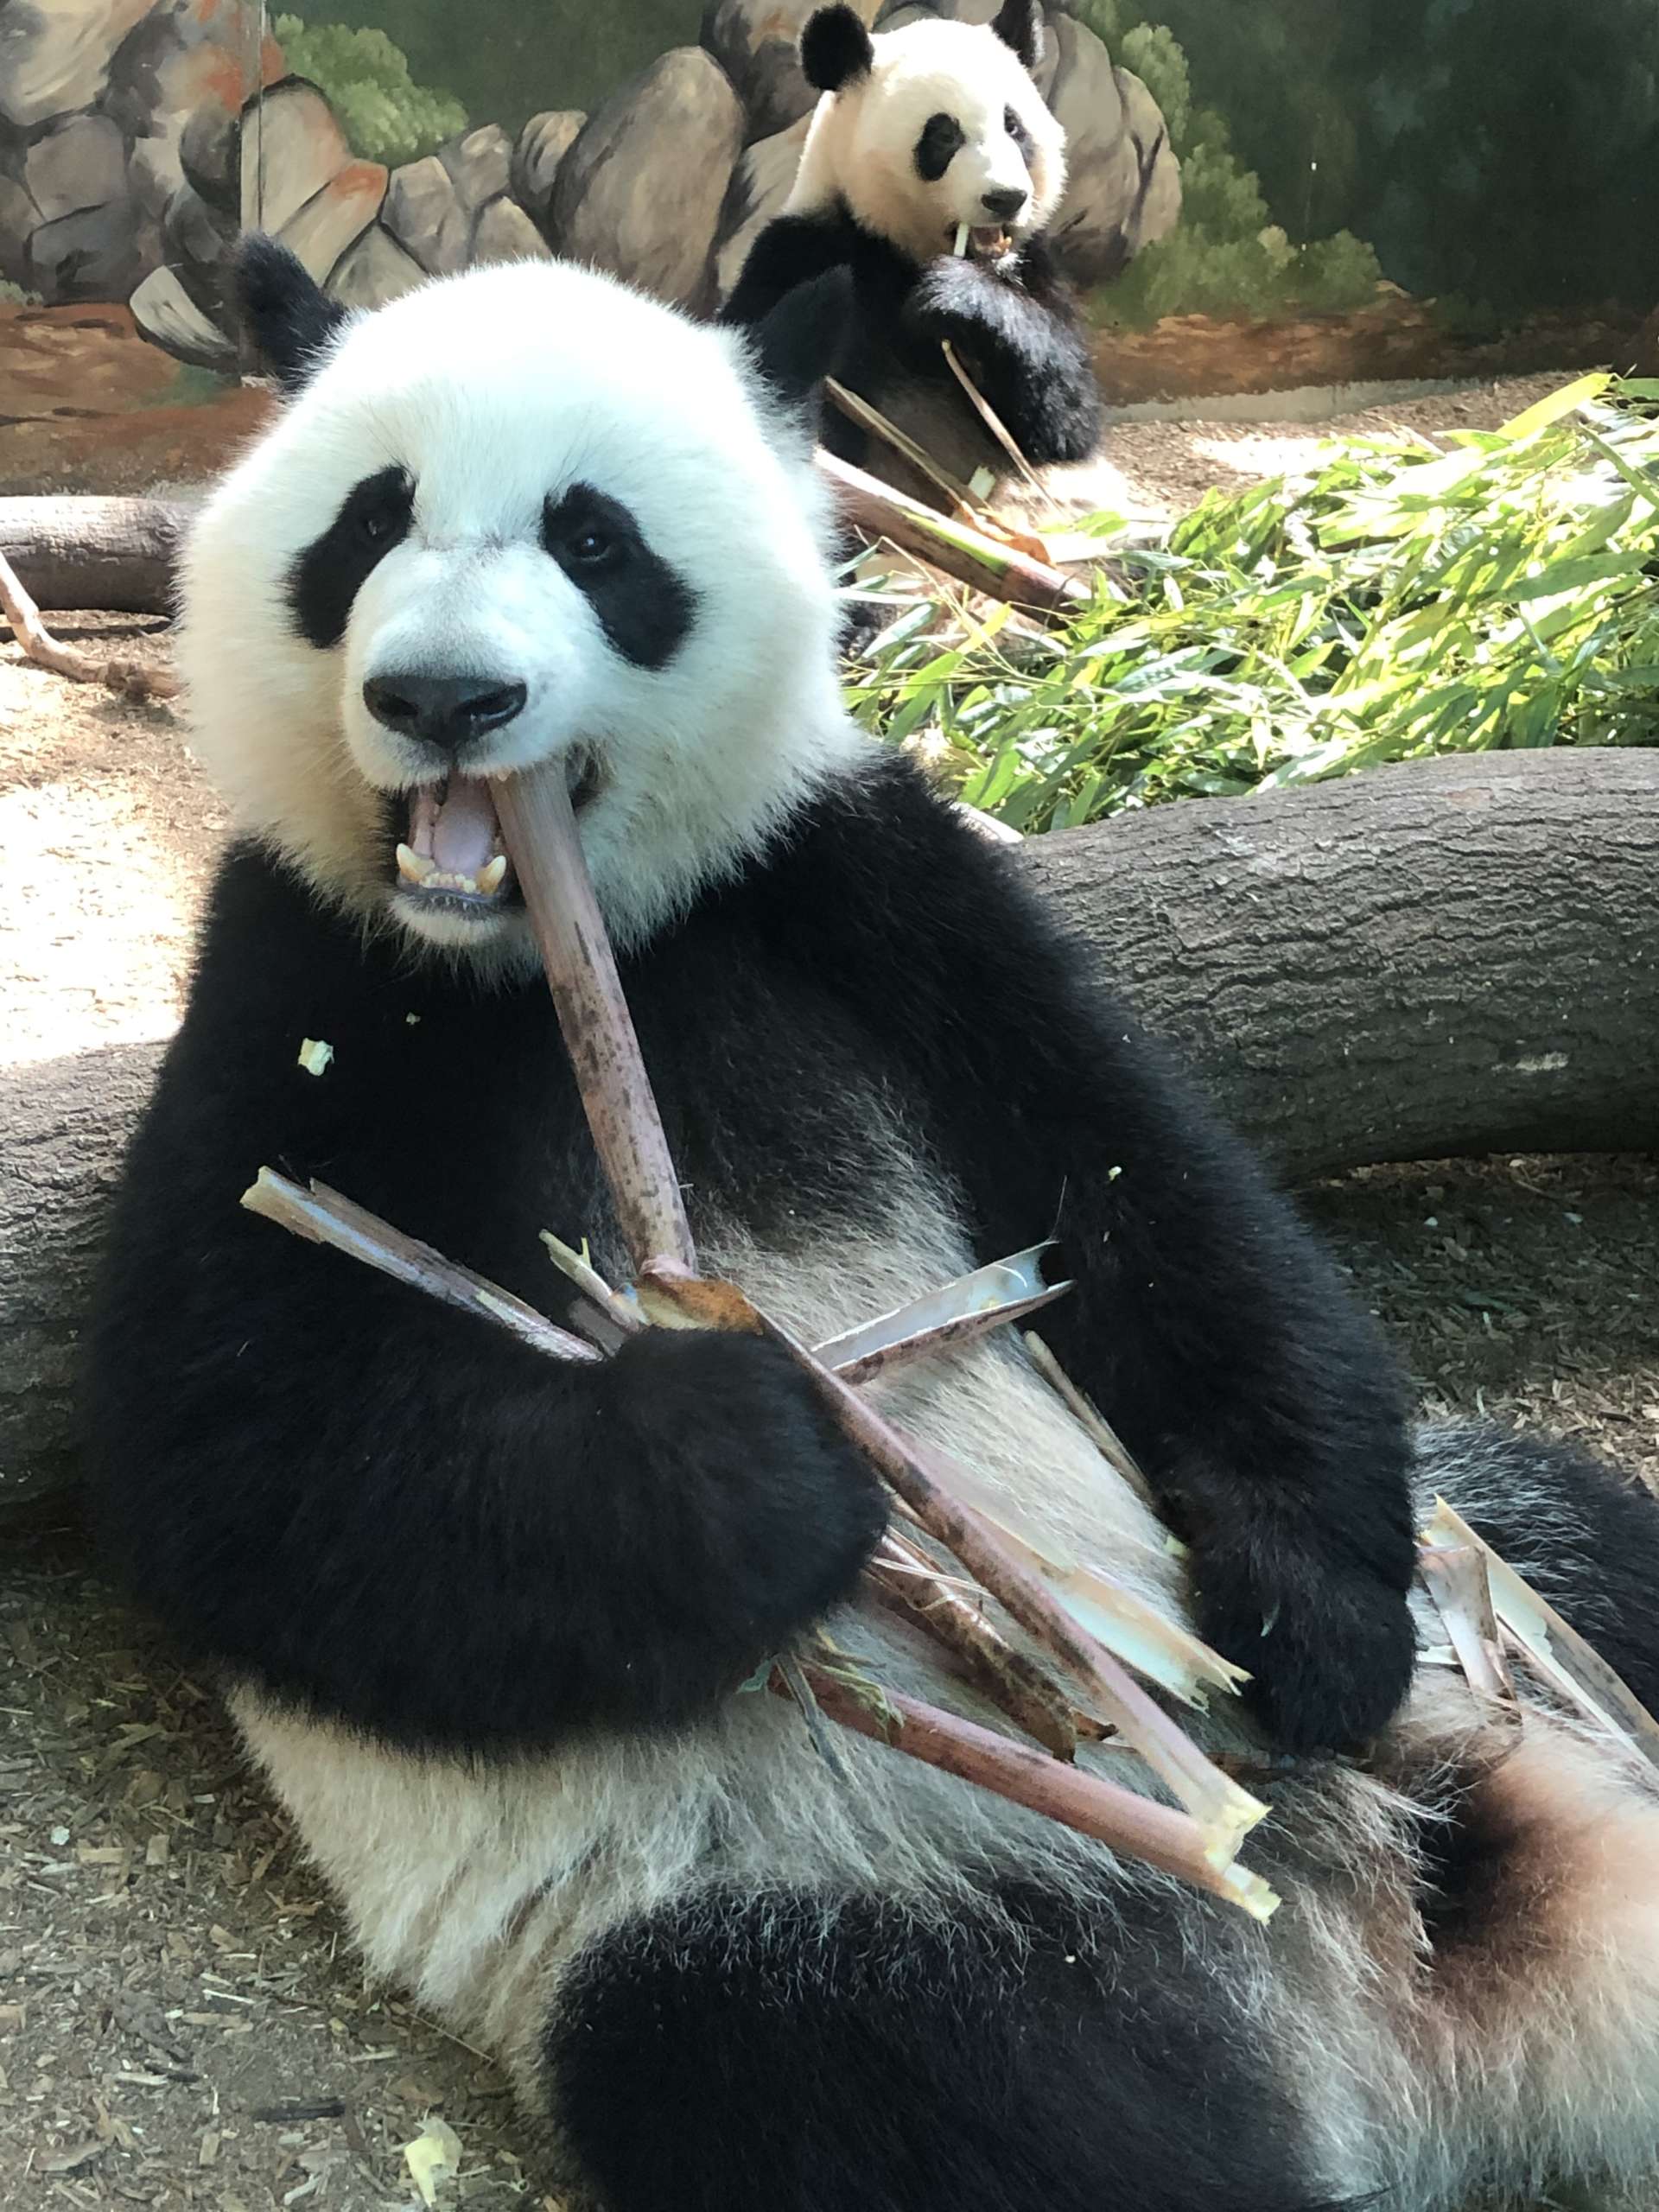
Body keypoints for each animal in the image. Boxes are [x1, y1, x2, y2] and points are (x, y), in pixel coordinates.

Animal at [85, 236, 1659, 2212]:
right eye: (371, 521)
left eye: (595, 539)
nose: (446, 698)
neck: (567, 944)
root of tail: (1386, 1997)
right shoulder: (296, 977)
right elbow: (229, 1450)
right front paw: (765, 1457)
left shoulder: (860, 884)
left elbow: (1159, 1197)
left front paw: (1305, 1623)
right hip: (824, 1918)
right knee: (935, 2093)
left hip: (1505, 1606)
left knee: (1581, 1534)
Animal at [720, 0, 1103, 499]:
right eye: (943, 135)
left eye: (1013, 126)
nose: (1006, 197)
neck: (898, 250)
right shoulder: (802, 256)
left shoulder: (1034, 272)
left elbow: (1064, 423)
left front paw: (958, 297)